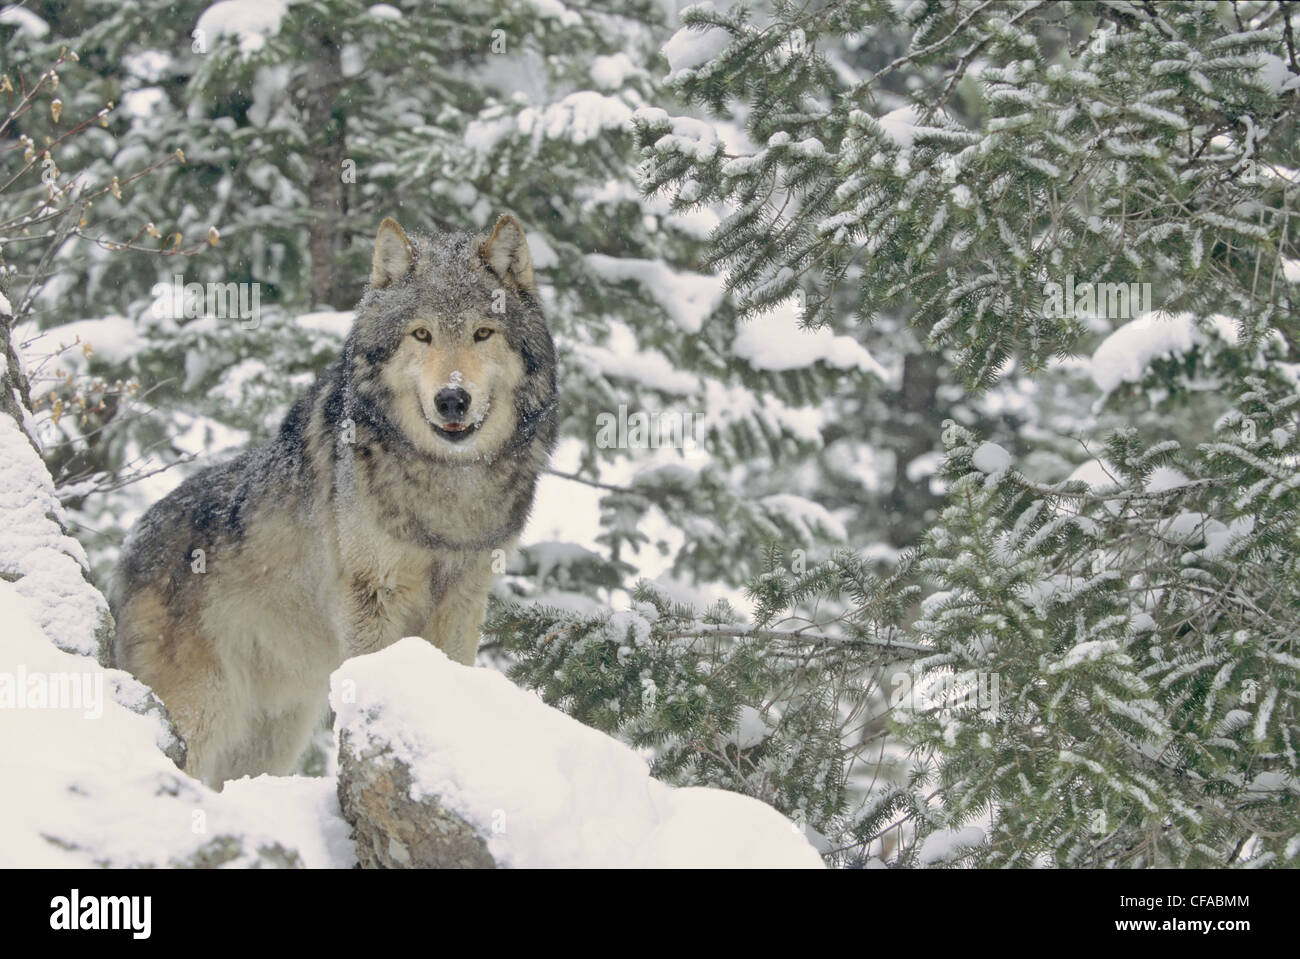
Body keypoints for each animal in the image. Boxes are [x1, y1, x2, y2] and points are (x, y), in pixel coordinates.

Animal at [110, 214, 558, 788]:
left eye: (483, 333)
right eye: (421, 334)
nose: (452, 400)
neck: (447, 487)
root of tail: (130, 547)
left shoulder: (464, 595)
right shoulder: (372, 595)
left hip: (274, 736)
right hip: (204, 711)